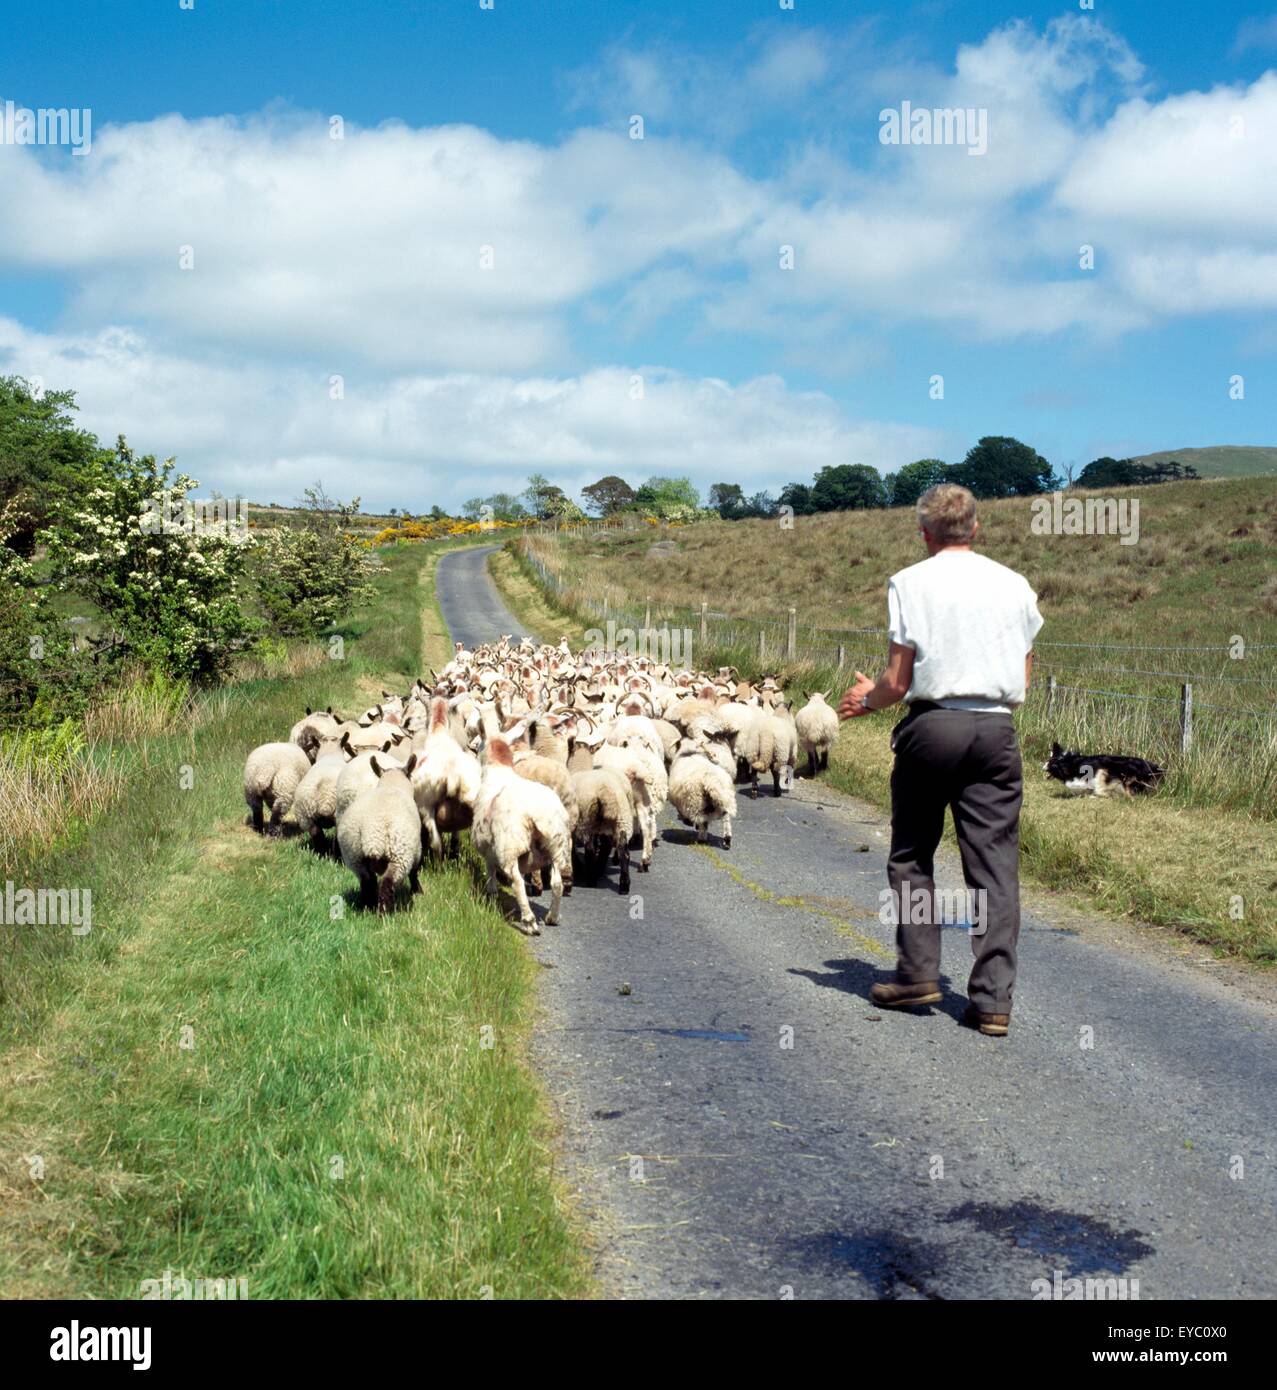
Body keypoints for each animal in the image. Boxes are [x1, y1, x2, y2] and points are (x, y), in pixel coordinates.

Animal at [337, 754, 422, 912]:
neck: (391, 785)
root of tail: (372, 835)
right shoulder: (417, 849)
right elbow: (414, 871)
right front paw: (417, 891)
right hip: (399, 855)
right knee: (387, 883)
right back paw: (383, 912)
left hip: (354, 856)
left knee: (367, 882)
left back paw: (368, 906)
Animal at [472, 736, 571, 934]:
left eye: (479, 745)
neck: (498, 770)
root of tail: (536, 813)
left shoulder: (487, 846)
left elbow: (490, 867)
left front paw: (491, 890)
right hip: (557, 844)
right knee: (557, 882)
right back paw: (552, 917)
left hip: (510, 846)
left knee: (517, 882)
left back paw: (529, 921)